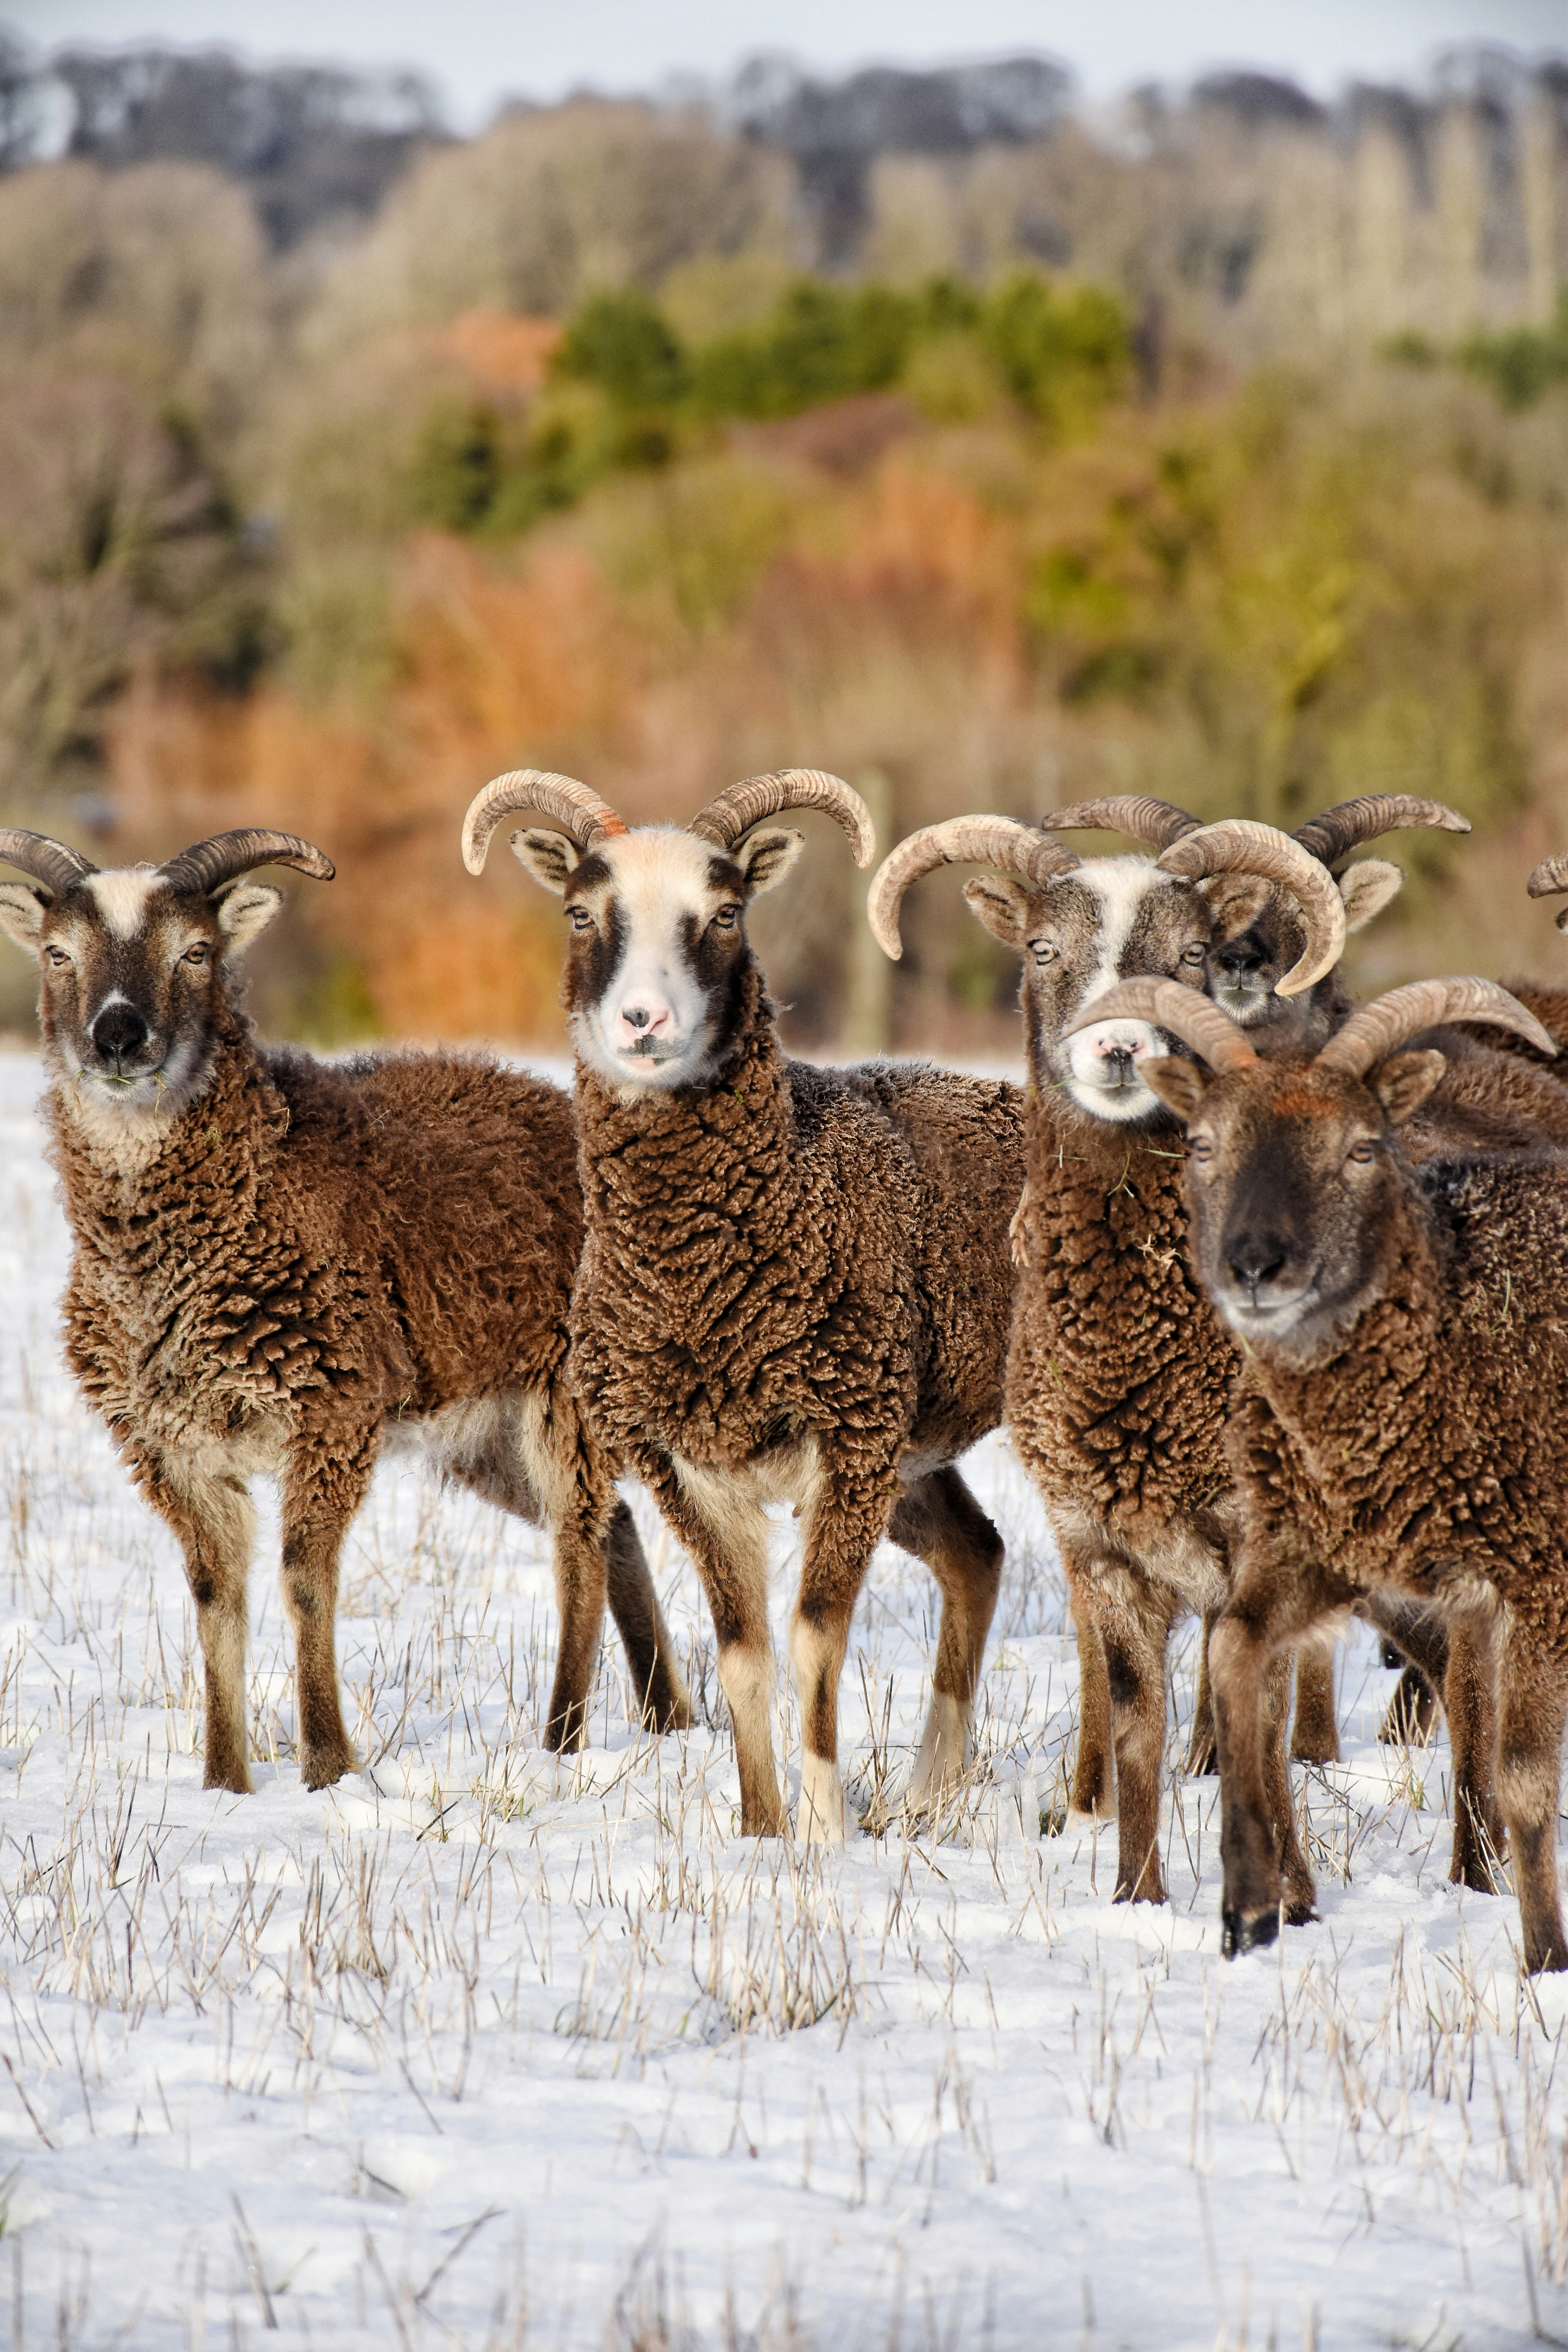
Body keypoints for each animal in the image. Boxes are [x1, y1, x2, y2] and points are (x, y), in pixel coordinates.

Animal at [0, 824, 691, 1793]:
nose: (119, 1035)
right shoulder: (170, 1446)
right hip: (482, 1433)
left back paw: (561, 1739)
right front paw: (224, 1782)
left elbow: (304, 1579)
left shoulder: (332, 1409)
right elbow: (216, 1596)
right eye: (59, 953)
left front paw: (328, 1765)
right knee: (614, 1524)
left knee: (581, 1540)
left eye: (197, 952)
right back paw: (669, 1717)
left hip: (564, 1398)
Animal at [459, 768, 1025, 1842]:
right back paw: (929, 1795)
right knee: (976, 1554)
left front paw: (826, 1833)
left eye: (724, 914)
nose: (643, 1022)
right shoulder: (692, 1471)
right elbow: (742, 1653)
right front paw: (763, 1829)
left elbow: (811, 1642)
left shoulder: (846, 1447)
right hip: (911, 1455)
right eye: (581, 913)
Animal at [867, 804, 1380, 1908]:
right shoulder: (1104, 1546)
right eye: (1040, 949)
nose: (1116, 1046)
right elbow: (1139, 1721)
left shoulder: (1257, 1540)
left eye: (1192, 956)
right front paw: (1135, 1895)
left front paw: (1286, 1898)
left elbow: (1261, 1719)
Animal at [1064, 973, 1568, 1966]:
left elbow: (1525, 1775)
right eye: (1203, 1143)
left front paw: (1543, 1961)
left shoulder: (1534, 1577)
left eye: (1362, 1147)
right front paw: (1251, 1905)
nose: (1256, 1266)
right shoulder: (1313, 1552)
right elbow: (1235, 1651)